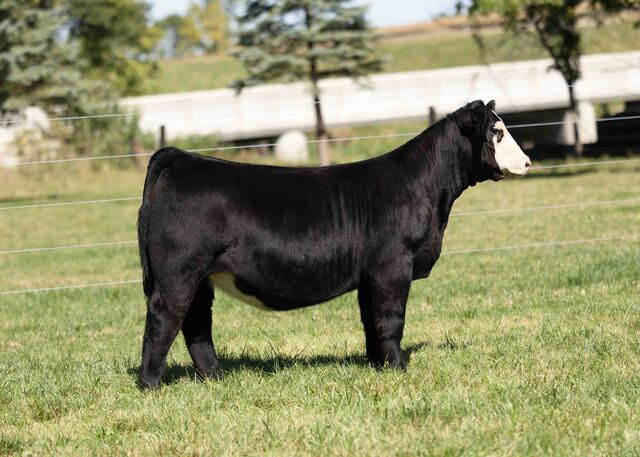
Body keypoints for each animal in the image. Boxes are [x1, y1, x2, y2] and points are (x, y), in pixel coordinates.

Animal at [136, 100, 531, 389]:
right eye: (496, 131)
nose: (527, 162)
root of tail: (184, 158)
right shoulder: (392, 266)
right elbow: (390, 319)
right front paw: (399, 368)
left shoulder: (369, 274)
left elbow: (371, 320)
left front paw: (377, 365)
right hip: (179, 270)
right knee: (165, 317)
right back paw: (151, 384)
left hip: (200, 276)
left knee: (196, 322)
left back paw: (215, 378)